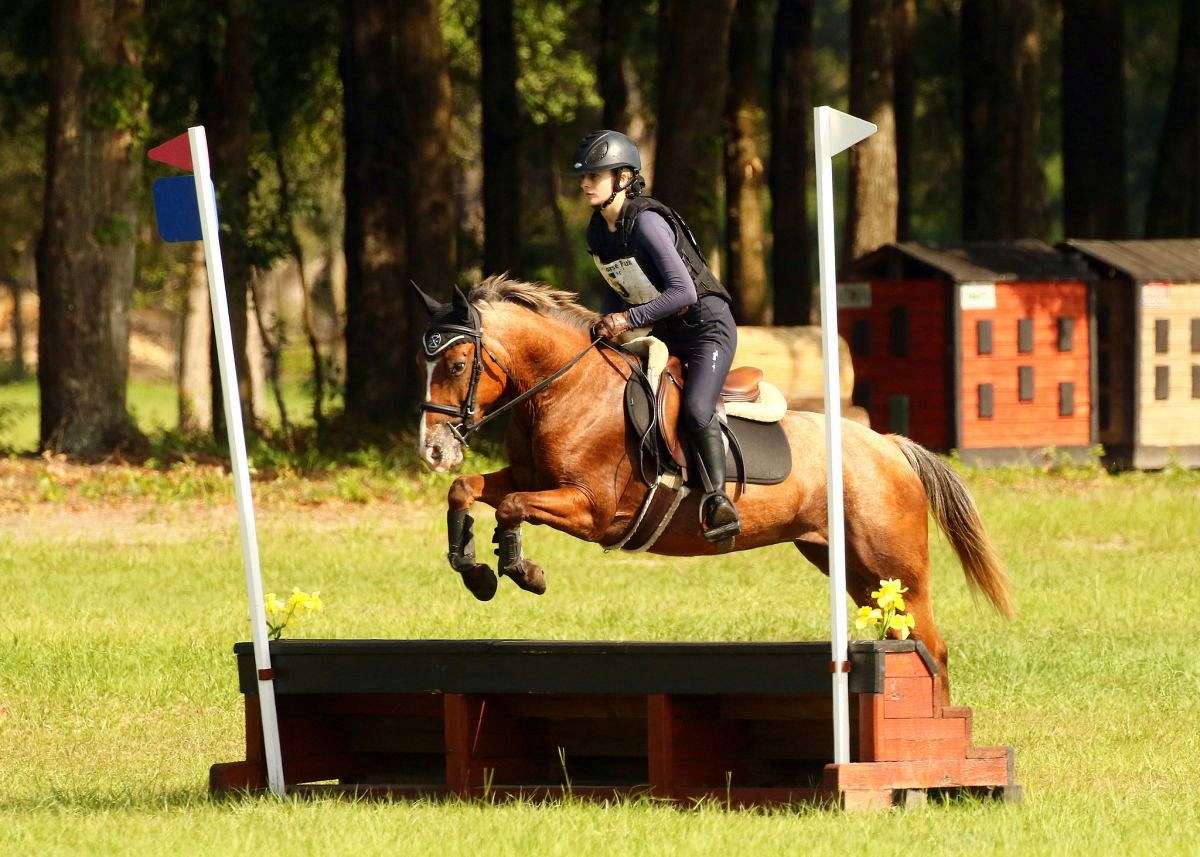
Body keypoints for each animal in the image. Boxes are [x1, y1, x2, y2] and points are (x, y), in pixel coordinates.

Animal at [416, 275, 1012, 703]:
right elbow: (467, 491)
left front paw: (522, 570)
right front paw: (475, 571)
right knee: (904, 638)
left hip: (895, 566)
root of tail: (889, 446)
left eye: (457, 363)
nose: (433, 450)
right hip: (854, 569)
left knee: (931, 645)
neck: (564, 389)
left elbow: (513, 508)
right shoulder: (529, 478)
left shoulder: (591, 510)